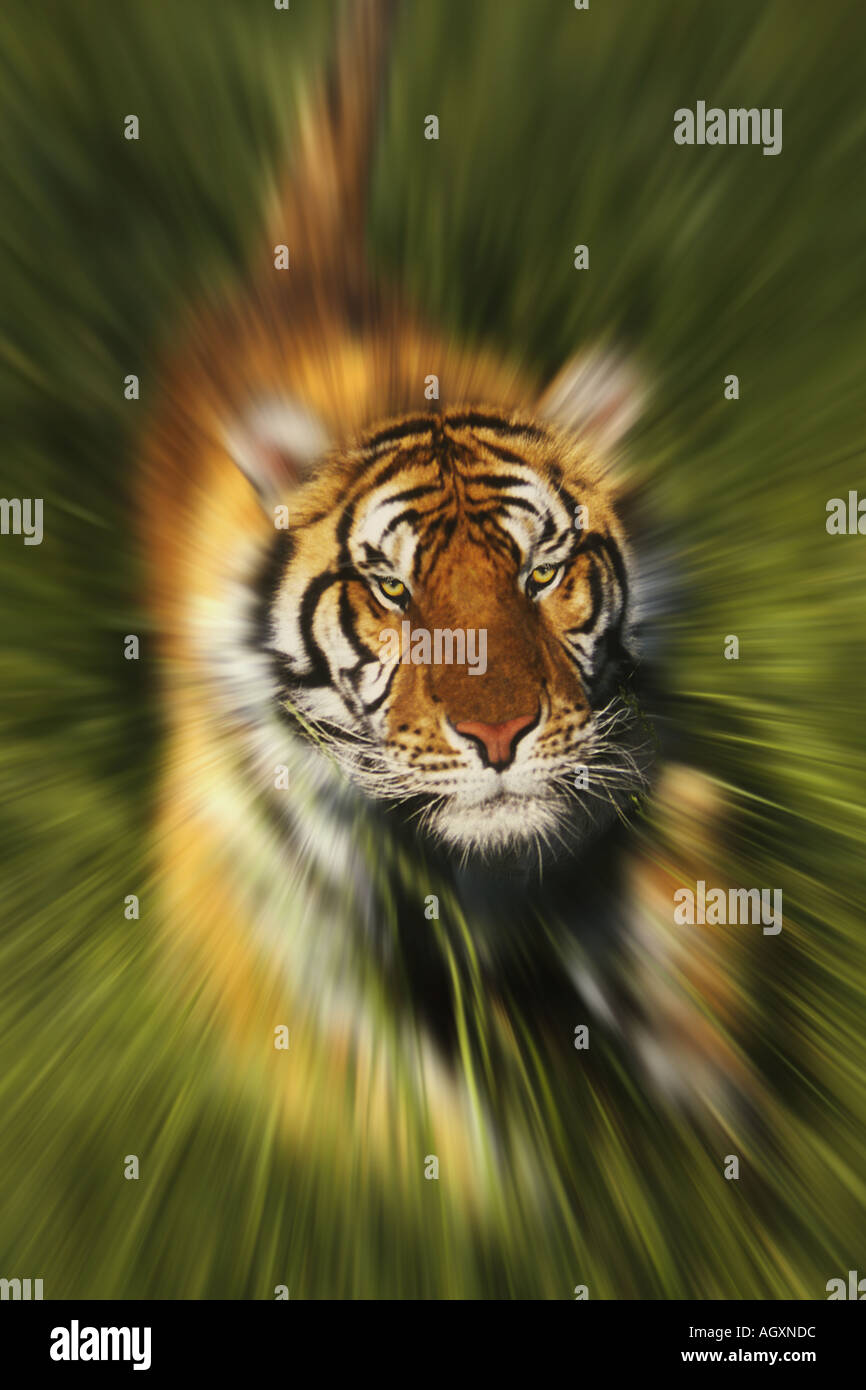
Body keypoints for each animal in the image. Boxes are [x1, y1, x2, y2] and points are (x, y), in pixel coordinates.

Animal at [140, 0, 752, 1208]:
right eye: (392, 587)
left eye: (540, 571)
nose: (499, 736)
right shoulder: (251, 914)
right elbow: (399, 1123)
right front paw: (509, 1213)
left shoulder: (651, 780)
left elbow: (695, 945)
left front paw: (730, 1139)